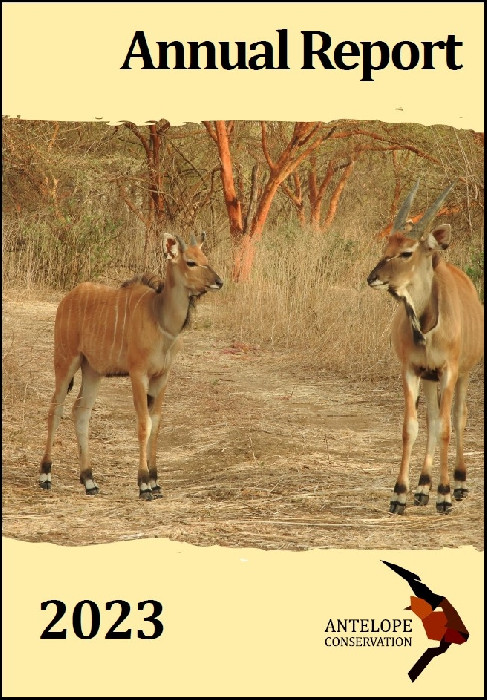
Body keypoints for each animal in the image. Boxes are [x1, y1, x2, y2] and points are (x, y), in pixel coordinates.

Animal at [39, 232, 223, 500]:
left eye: (205, 258)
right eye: (190, 262)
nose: (219, 281)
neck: (160, 318)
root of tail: (67, 299)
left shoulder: (162, 376)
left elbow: (156, 423)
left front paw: (156, 482)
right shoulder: (138, 374)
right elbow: (144, 424)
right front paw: (144, 484)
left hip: (93, 370)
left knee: (80, 411)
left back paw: (89, 481)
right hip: (66, 360)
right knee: (56, 408)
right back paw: (45, 476)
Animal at [367, 181, 484, 514]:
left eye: (407, 252)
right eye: (387, 247)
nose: (373, 278)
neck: (428, 324)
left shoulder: (449, 371)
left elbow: (446, 427)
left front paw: (444, 495)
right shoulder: (411, 370)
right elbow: (412, 427)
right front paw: (400, 494)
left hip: (463, 375)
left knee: (457, 417)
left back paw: (458, 483)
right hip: (430, 379)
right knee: (432, 419)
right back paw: (422, 487)